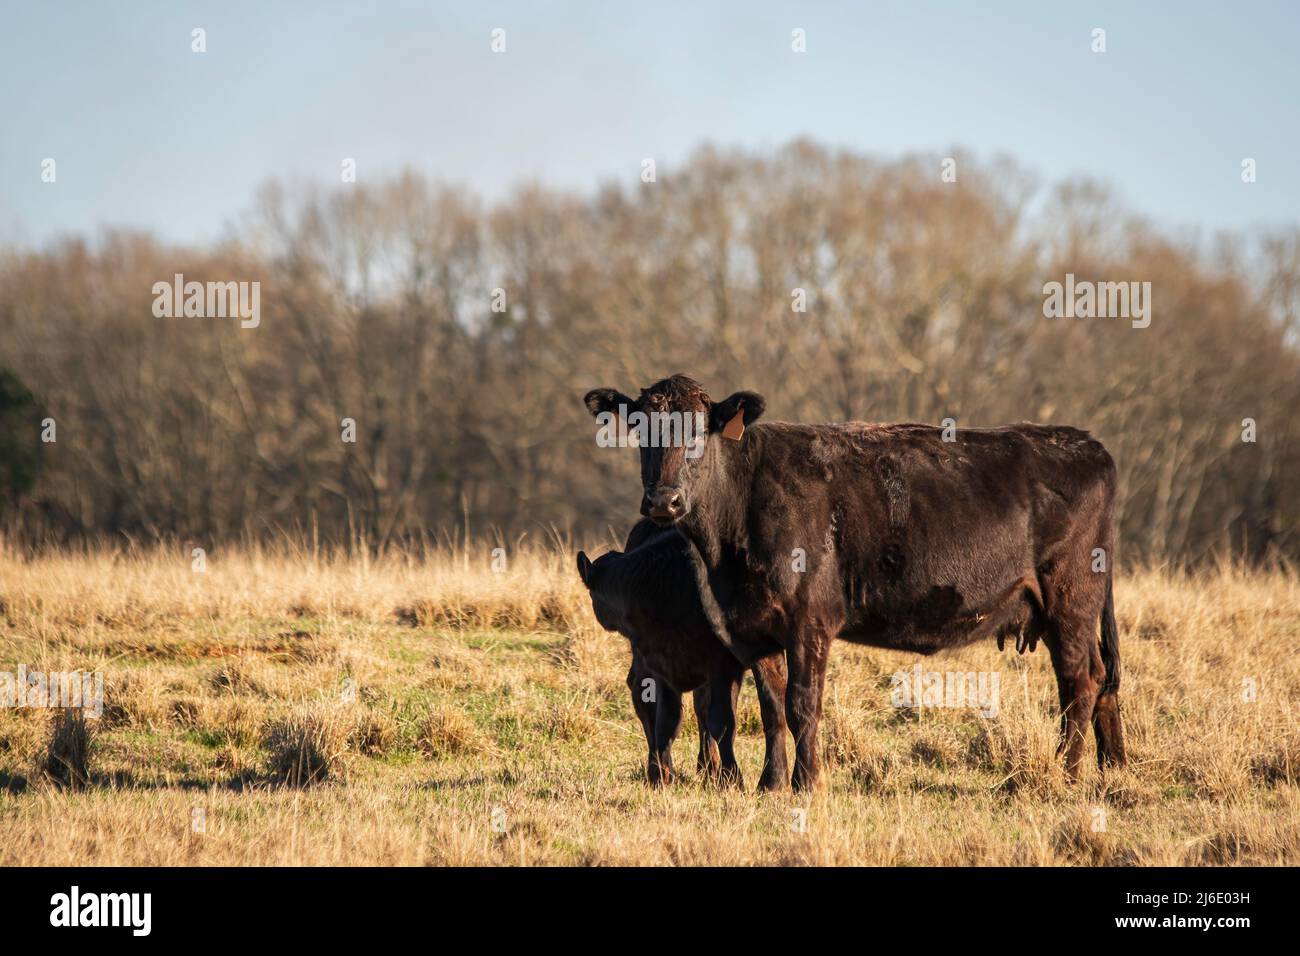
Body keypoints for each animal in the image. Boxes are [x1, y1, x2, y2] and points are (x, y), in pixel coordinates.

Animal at [577, 518, 789, 790]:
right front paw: (662, 775)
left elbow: (722, 720)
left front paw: (730, 778)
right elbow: (666, 720)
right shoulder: (658, 664)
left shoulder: (723, 664)